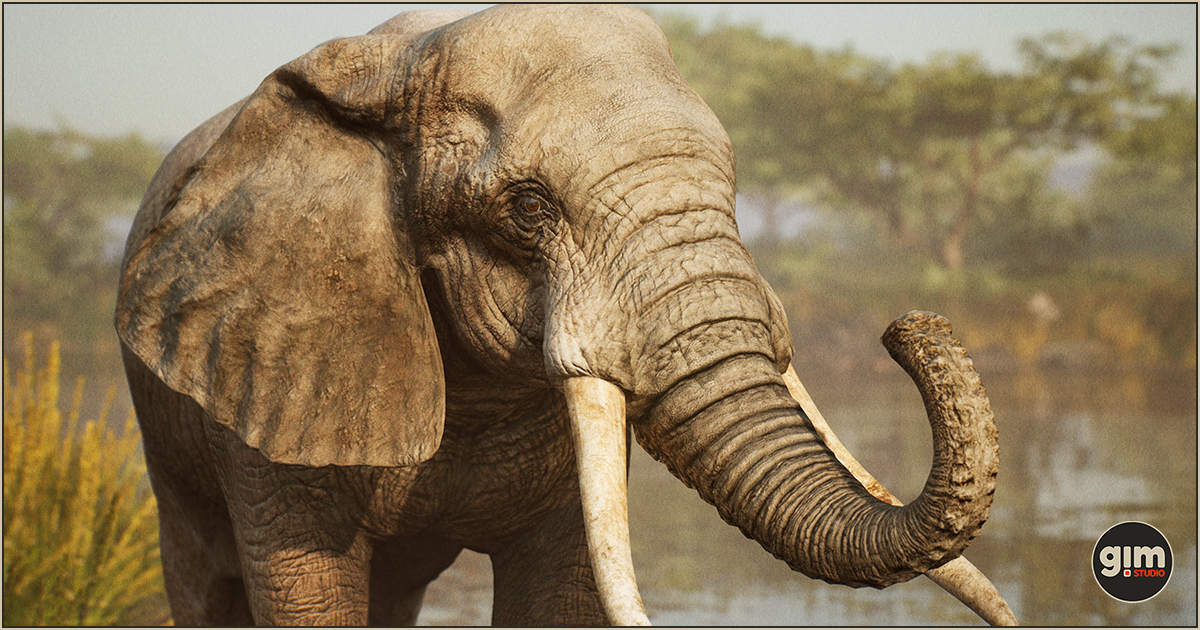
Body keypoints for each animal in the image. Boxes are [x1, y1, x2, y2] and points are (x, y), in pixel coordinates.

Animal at [114, 5, 1015, 626]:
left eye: (731, 181)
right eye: (528, 207)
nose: (907, 328)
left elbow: (555, 587)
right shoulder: (279, 365)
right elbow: (310, 588)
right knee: (205, 577)